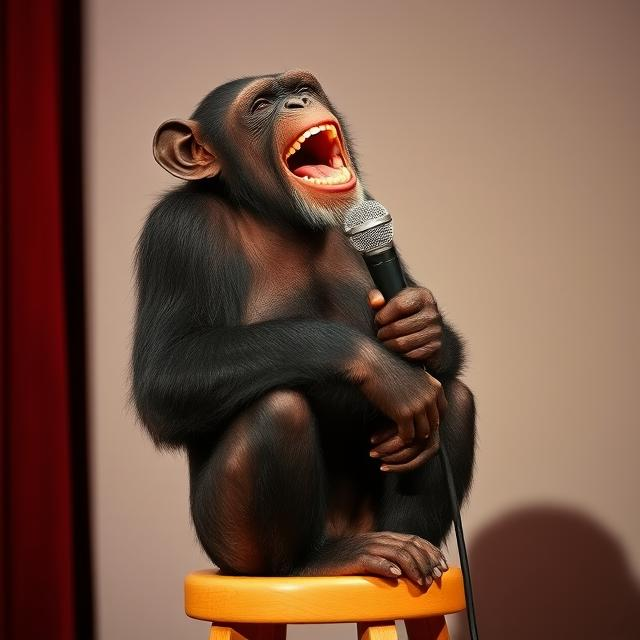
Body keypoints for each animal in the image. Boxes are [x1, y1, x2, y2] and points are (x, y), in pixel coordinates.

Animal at [132, 70, 475, 587]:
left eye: (303, 90)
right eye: (260, 105)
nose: (297, 102)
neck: (277, 216)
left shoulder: (372, 219)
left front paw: (420, 324)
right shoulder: (175, 231)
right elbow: (164, 375)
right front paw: (390, 374)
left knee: (455, 397)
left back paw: (408, 551)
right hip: (230, 550)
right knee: (277, 408)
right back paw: (314, 562)